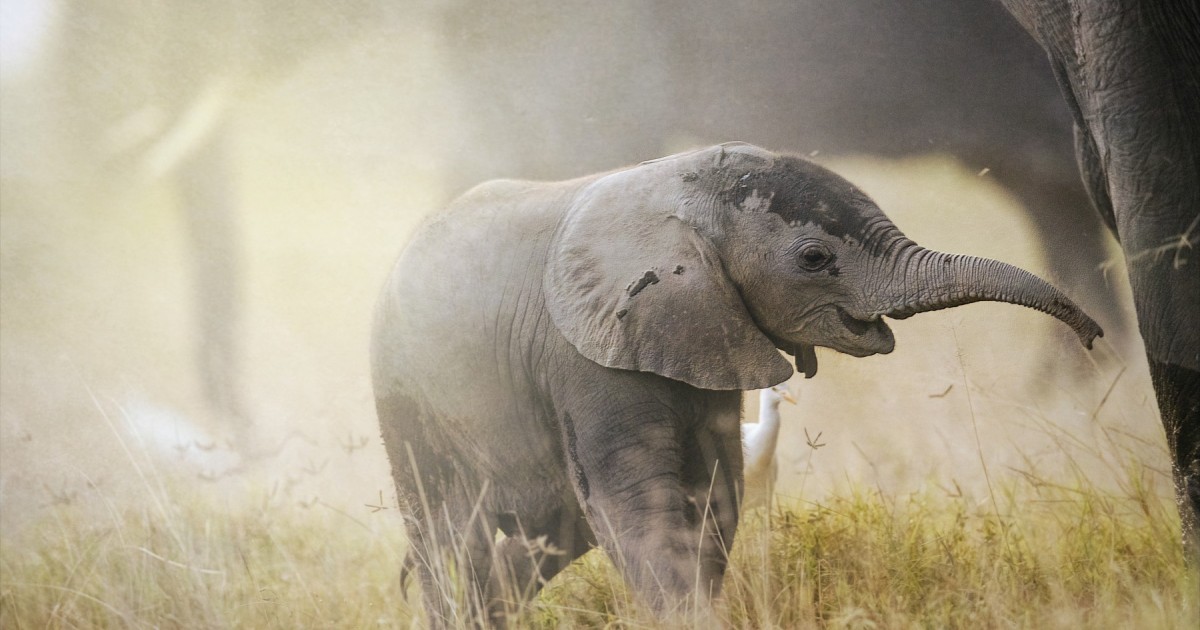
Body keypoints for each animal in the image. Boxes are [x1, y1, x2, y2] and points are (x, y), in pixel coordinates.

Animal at [371, 142, 1101, 625]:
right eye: (815, 258)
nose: (1093, 333)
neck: (681, 192)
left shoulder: (706, 337)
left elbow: (714, 497)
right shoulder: (584, 359)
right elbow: (639, 505)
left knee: (549, 533)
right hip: (400, 388)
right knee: (445, 532)